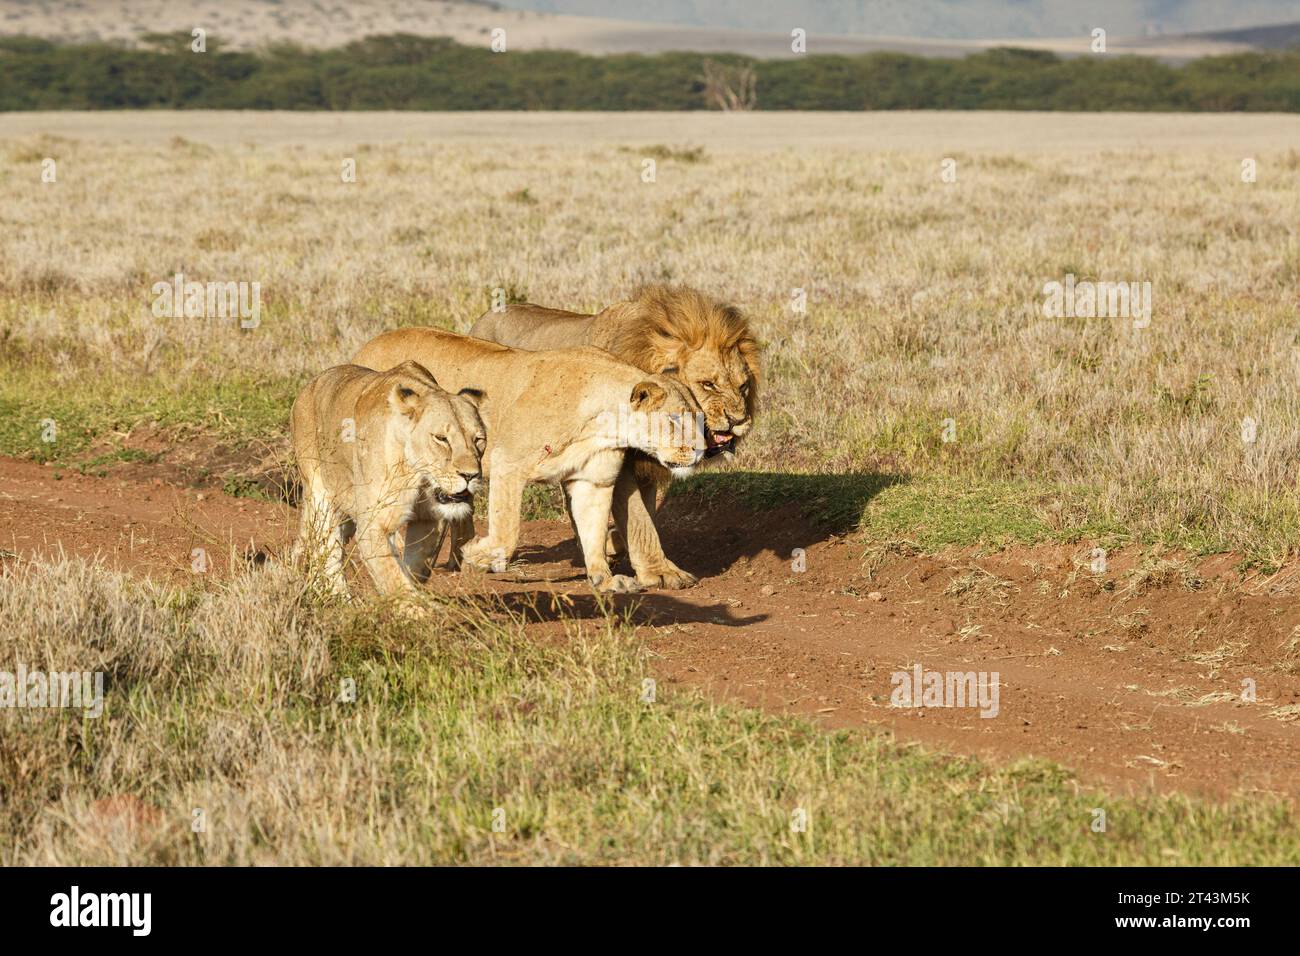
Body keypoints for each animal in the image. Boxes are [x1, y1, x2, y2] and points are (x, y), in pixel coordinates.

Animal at [290, 360, 486, 596]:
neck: (418, 475)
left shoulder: (430, 520)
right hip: (320, 492)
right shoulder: (374, 522)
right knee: (328, 550)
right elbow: (393, 578)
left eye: (479, 440)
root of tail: (309, 385)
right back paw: (339, 597)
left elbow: (415, 568)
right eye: (441, 438)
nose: (470, 475)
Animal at [352, 327, 707, 593]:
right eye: (674, 420)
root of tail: (361, 351)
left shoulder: (593, 478)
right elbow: (507, 530)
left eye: (699, 417)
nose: (701, 450)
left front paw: (604, 579)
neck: (603, 422)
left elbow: (593, 528)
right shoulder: (508, 462)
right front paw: (481, 556)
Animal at [470, 284, 760, 589]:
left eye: (743, 386)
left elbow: (643, 515)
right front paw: (661, 572)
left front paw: (613, 545)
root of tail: (487, 315)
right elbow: (639, 518)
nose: (739, 421)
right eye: (708, 384)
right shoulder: (621, 466)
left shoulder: (644, 469)